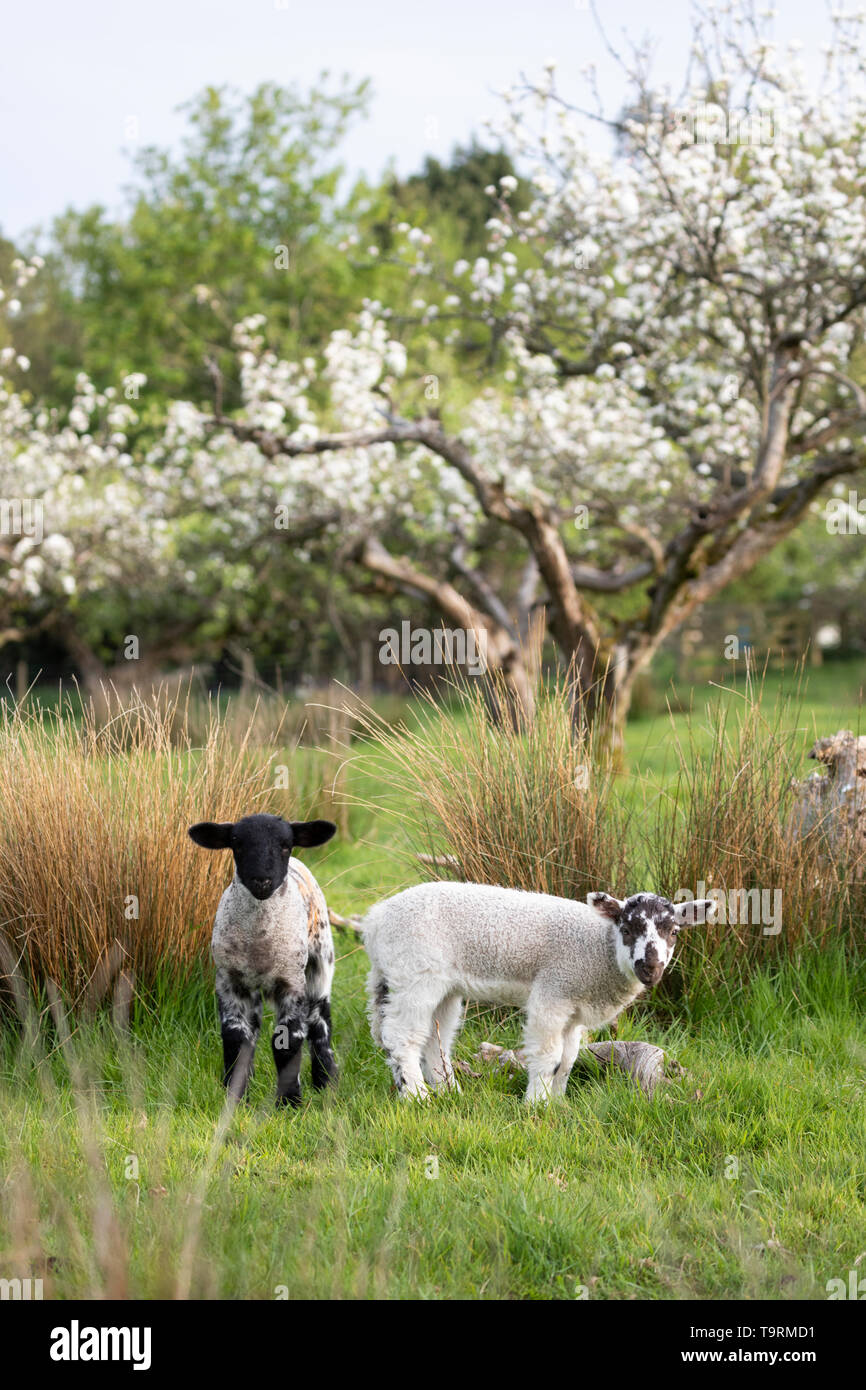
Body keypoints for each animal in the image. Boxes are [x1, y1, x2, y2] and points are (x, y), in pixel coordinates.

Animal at [188, 813, 337, 1106]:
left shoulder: (292, 983)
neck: (259, 940)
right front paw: (234, 1095)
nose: (262, 881)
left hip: (321, 960)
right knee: (253, 1030)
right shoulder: (229, 982)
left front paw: (290, 1101)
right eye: (237, 844)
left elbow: (288, 1040)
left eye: (285, 845)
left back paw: (326, 1082)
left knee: (320, 1019)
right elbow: (235, 1037)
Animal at [363, 883, 713, 1104]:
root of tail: (375, 920)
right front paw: (537, 1105)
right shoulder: (553, 991)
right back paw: (416, 1097)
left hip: (436, 984)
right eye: (626, 929)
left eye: (674, 932)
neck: (598, 949)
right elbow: (549, 1056)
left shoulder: (574, 1006)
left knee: (436, 1039)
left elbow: (569, 1059)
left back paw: (448, 1091)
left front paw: (558, 1102)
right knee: (402, 1036)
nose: (650, 968)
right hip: (415, 972)